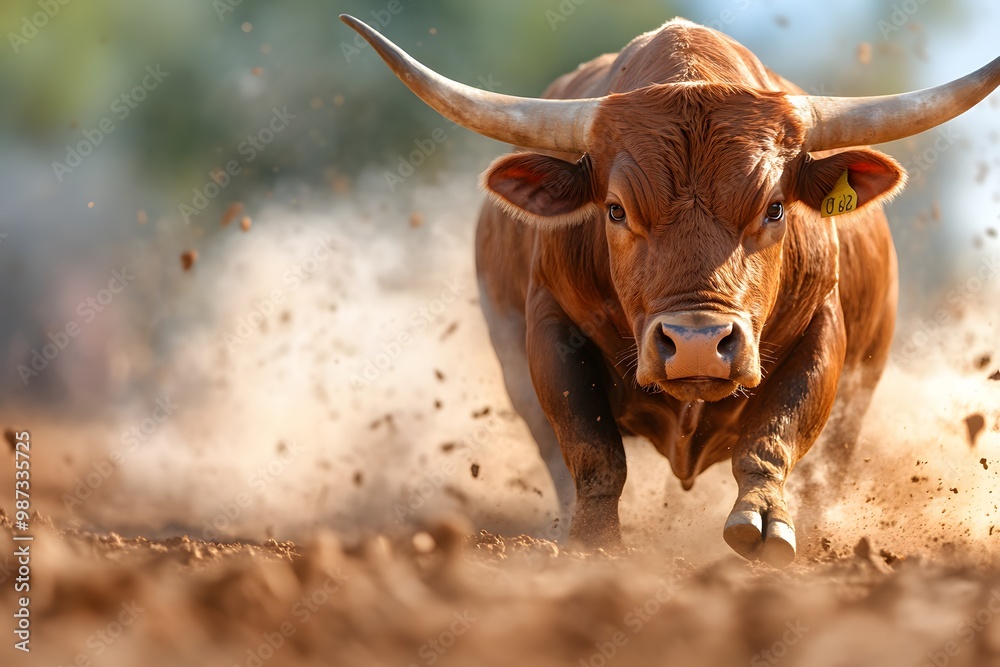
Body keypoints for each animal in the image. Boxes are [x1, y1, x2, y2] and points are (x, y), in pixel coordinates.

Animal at [341, 14, 1000, 564]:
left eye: (774, 207)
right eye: (614, 210)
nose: (697, 344)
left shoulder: (824, 336)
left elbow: (772, 439)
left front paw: (766, 523)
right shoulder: (550, 333)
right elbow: (592, 452)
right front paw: (593, 544)